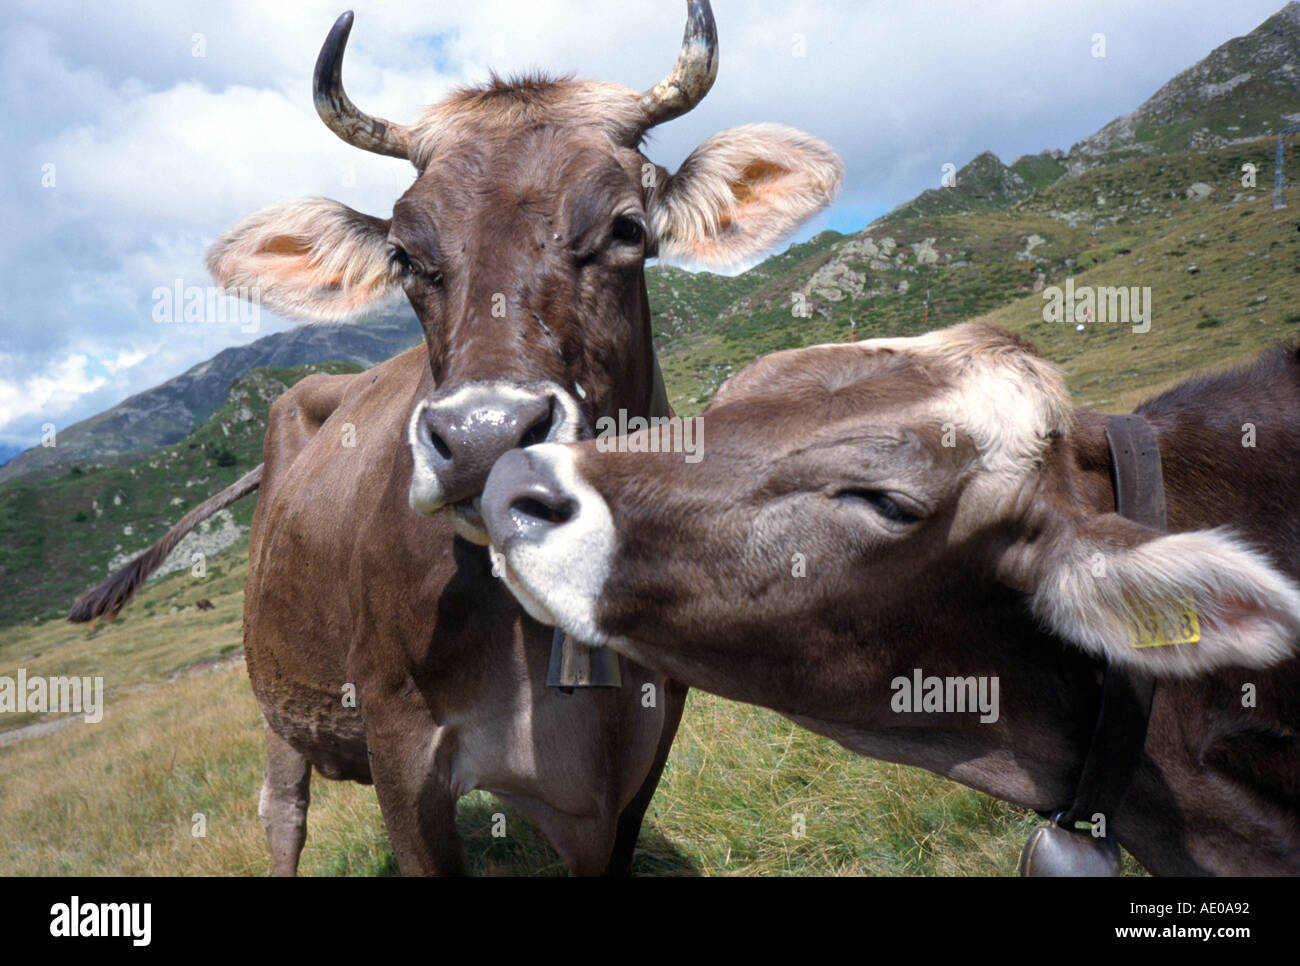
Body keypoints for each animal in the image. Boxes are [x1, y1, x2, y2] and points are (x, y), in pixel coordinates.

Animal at [70, 2, 843, 875]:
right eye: (405, 255)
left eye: (627, 227)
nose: (483, 437)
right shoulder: (402, 749)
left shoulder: (642, 758)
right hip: (278, 697)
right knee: (282, 810)